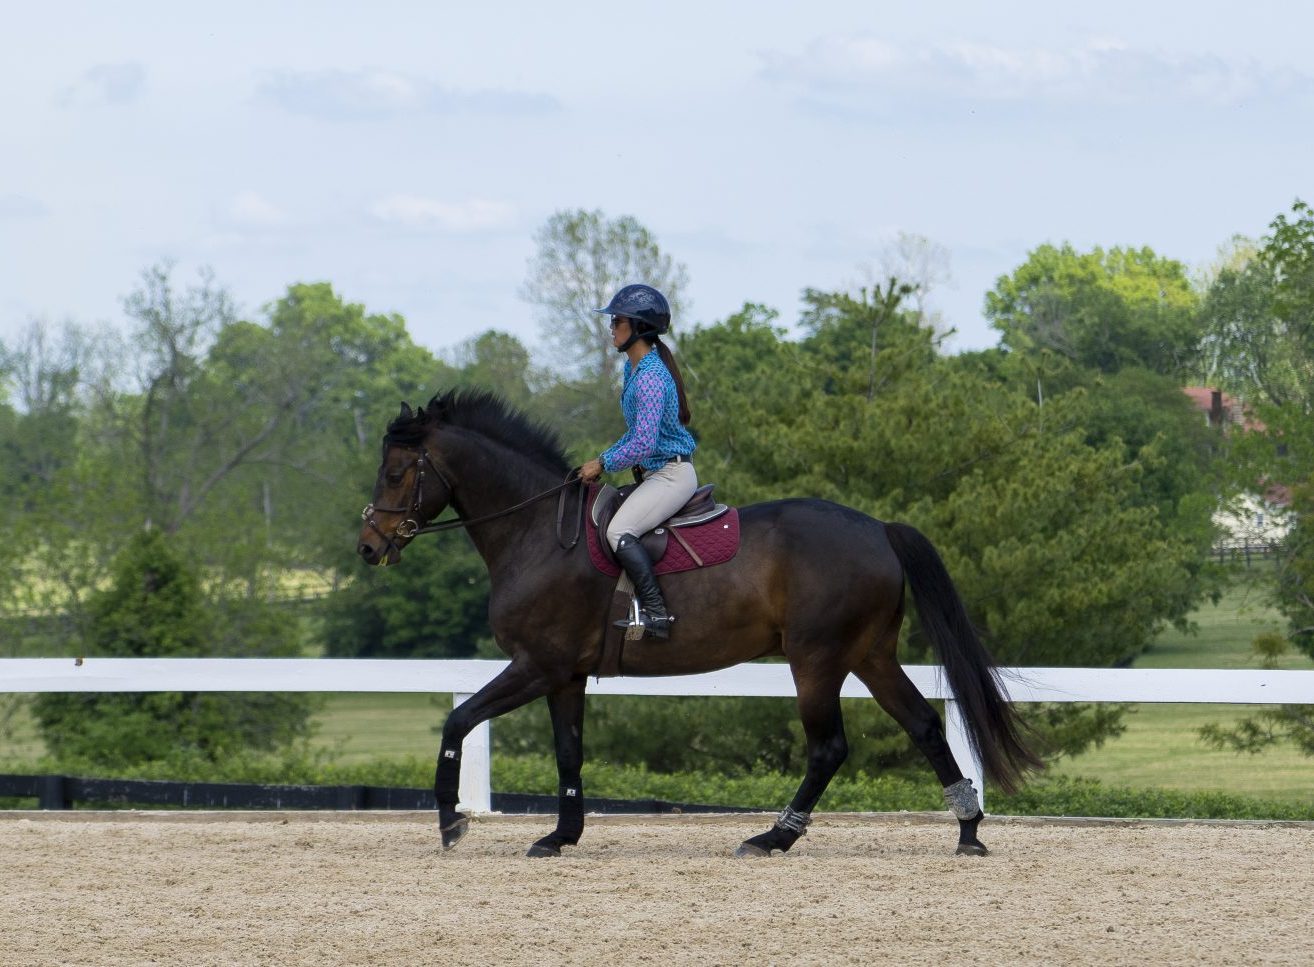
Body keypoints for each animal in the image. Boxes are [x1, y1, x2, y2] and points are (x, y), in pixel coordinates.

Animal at [356, 389, 1041, 858]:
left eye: (394, 472)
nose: (368, 547)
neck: (537, 532)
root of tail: (878, 528)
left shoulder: (536, 665)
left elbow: (459, 721)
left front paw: (451, 821)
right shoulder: (564, 675)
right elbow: (569, 752)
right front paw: (561, 835)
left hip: (816, 659)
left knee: (828, 748)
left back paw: (772, 838)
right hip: (869, 654)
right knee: (924, 724)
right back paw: (968, 831)